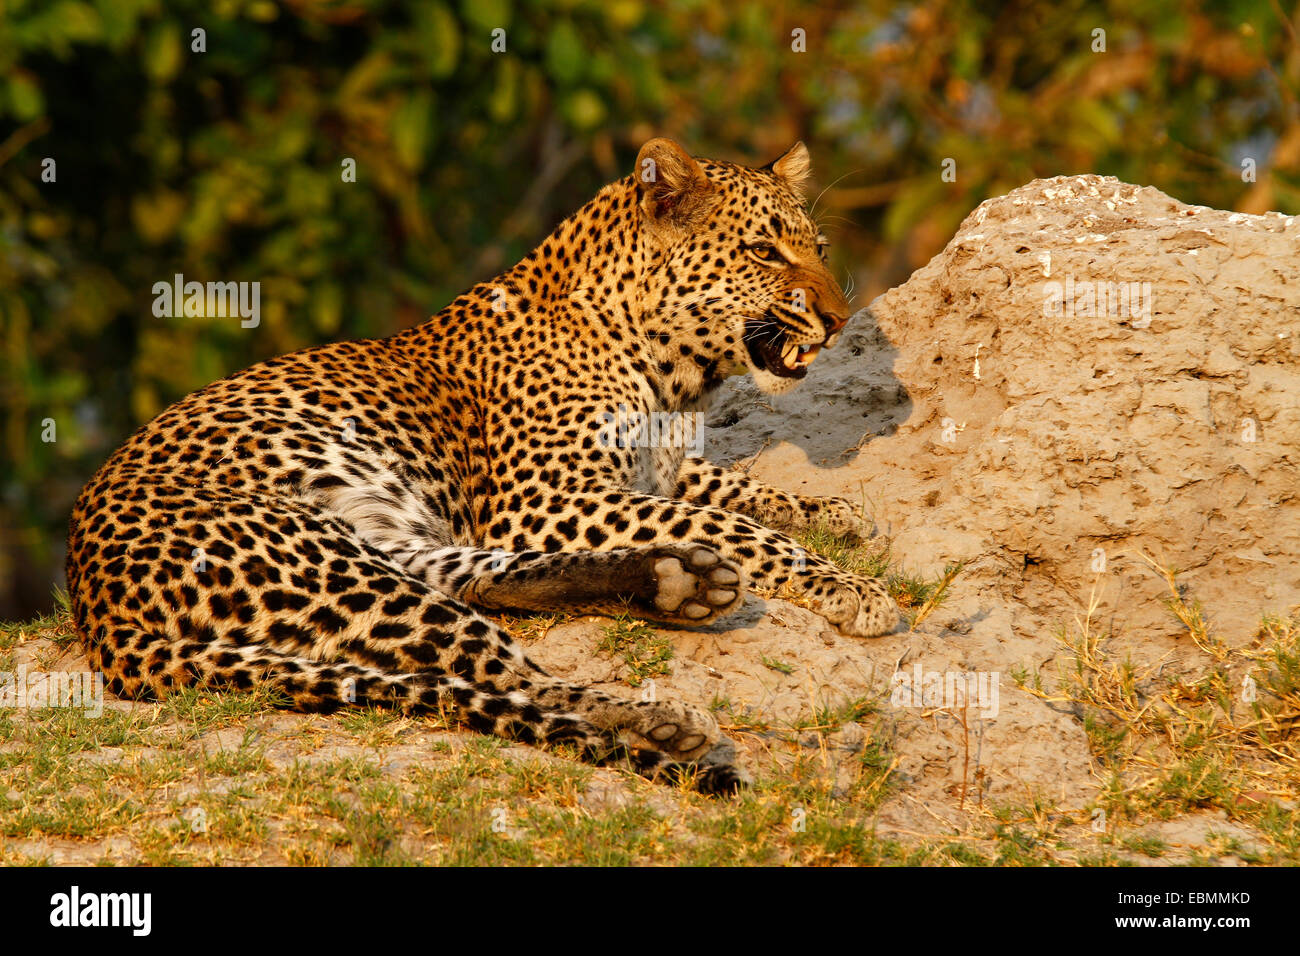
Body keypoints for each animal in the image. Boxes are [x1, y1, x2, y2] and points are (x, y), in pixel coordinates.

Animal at [66, 138, 898, 794]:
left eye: (820, 250)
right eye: (764, 251)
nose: (837, 319)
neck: (671, 372)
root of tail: (94, 606)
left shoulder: (647, 473)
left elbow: (740, 493)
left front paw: (842, 521)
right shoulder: (546, 497)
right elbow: (731, 524)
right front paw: (852, 589)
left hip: (387, 546)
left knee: (486, 592)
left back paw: (676, 581)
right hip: (320, 555)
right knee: (502, 670)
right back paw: (660, 714)